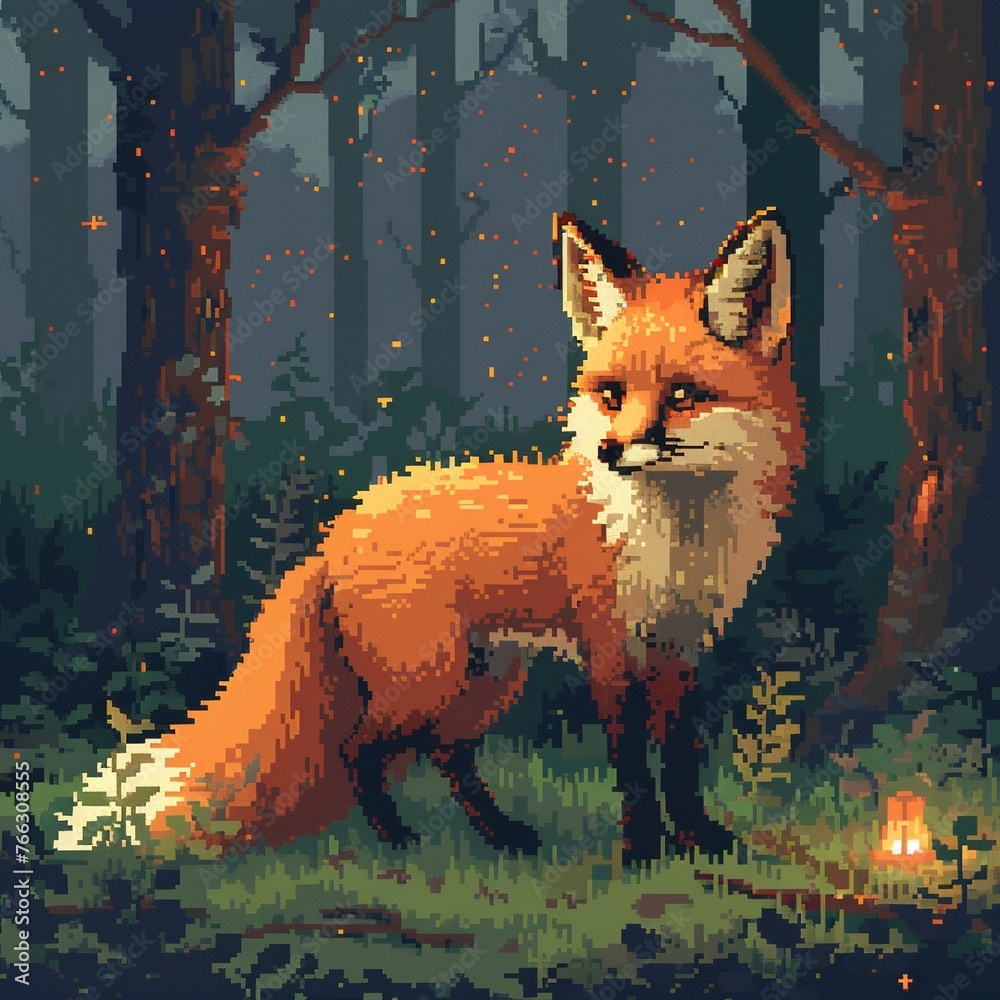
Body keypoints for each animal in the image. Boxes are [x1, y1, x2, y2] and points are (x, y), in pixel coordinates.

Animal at [54, 208, 805, 861]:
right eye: (612, 393)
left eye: (681, 396)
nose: (611, 451)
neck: (679, 534)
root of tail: (337, 531)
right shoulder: (611, 649)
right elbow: (633, 767)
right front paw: (643, 853)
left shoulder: (681, 644)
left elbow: (678, 759)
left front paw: (701, 844)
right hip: (429, 676)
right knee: (364, 749)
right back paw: (400, 844)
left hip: (486, 677)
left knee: (446, 752)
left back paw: (504, 838)